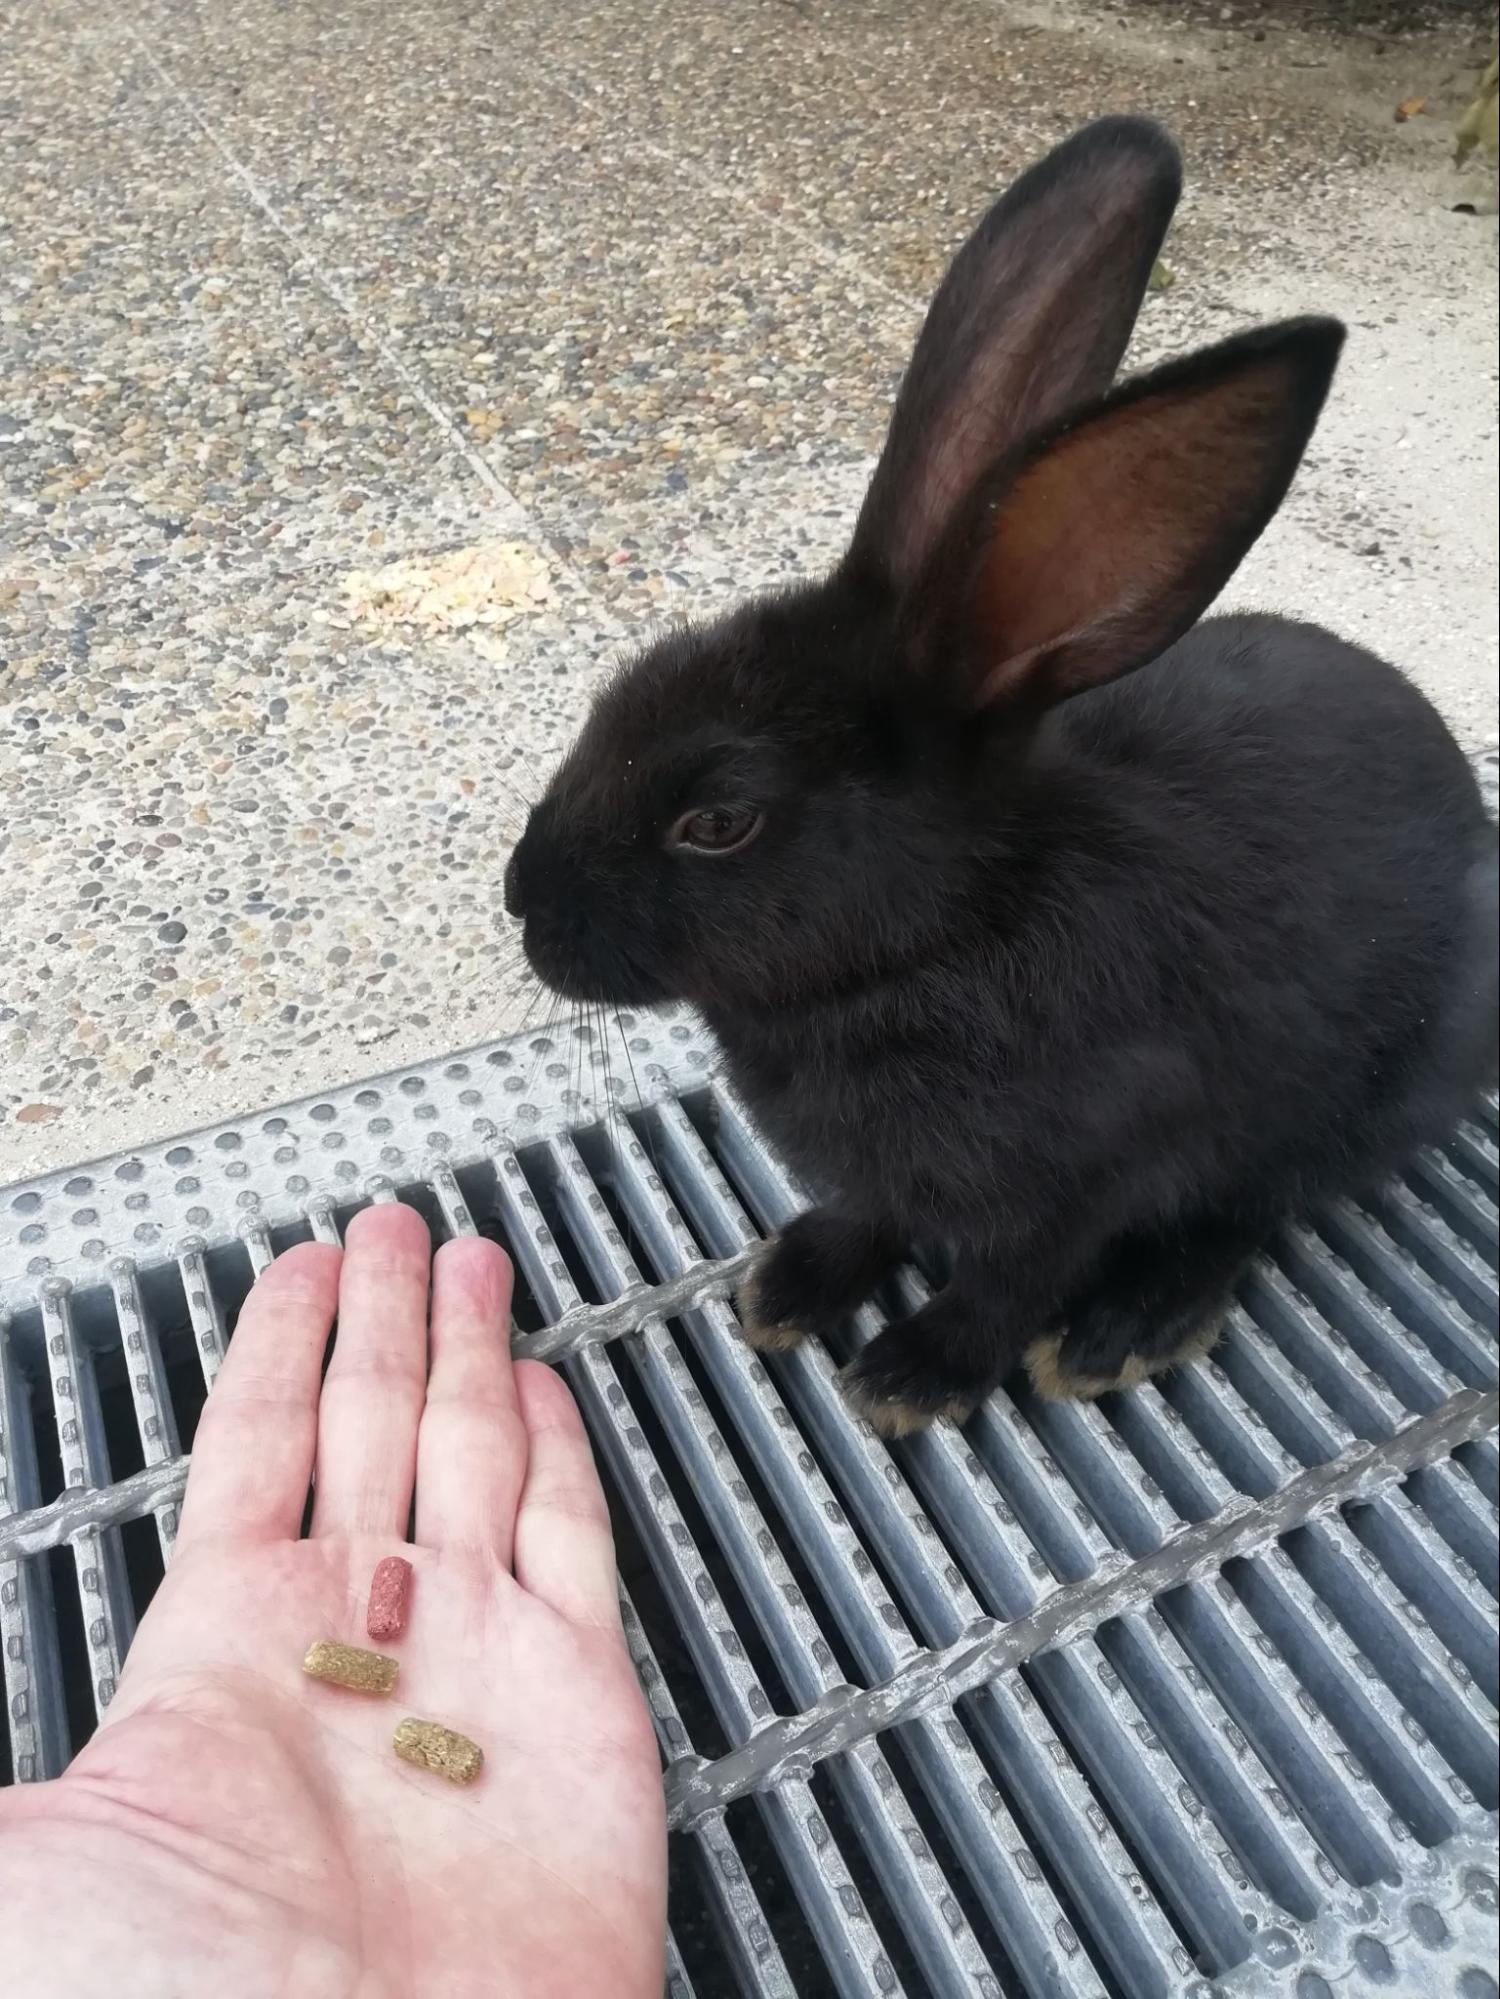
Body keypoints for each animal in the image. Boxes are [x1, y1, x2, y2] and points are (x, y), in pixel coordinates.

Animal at [506, 116, 1499, 1437]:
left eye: (718, 820)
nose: (521, 898)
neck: (944, 938)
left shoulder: (1086, 1176)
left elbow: (1010, 1275)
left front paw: (910, 1376)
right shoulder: (890, 1176)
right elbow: (869, 1215)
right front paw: (790, 1285)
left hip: (1377, 1086)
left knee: (1260, 1201)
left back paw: (1128, 1327)